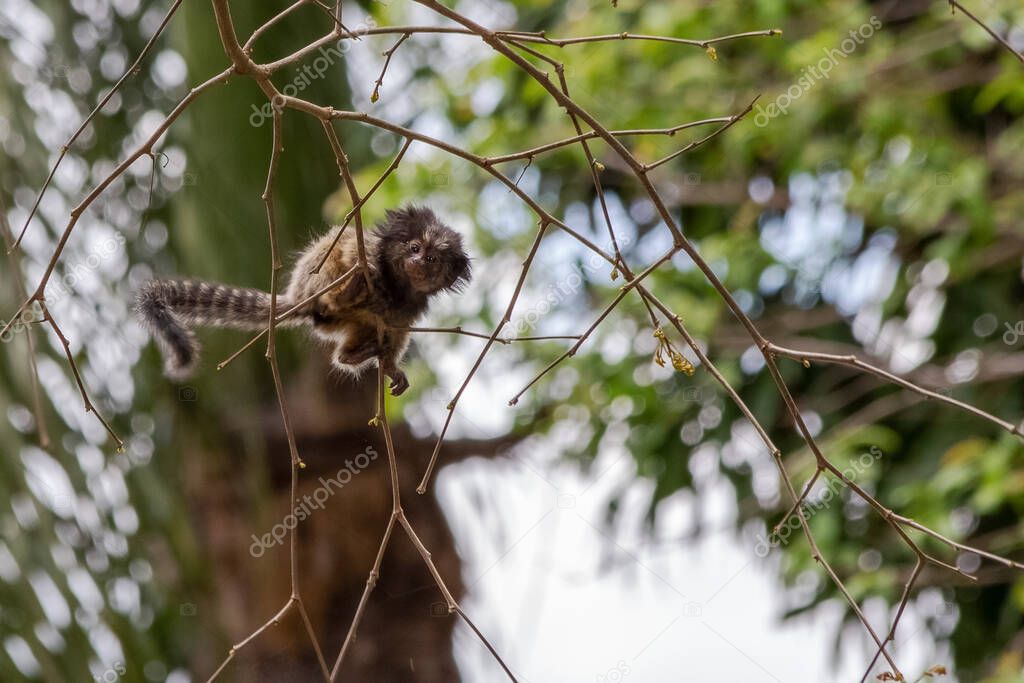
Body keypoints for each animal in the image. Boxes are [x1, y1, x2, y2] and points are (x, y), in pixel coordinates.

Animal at [135, 206, 471, 396]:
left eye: (432, 258)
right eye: (413, 247)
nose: (419, 262)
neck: (395, 284)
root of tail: (297, 298)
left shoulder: (409, 307)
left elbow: (397, 329)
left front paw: (389, 366)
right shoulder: (371, 246)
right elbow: (351, 245)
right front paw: (366, 271)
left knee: (377, 330)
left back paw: (352, 356)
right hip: (313, 281)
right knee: (333, 255)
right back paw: (347, 293)